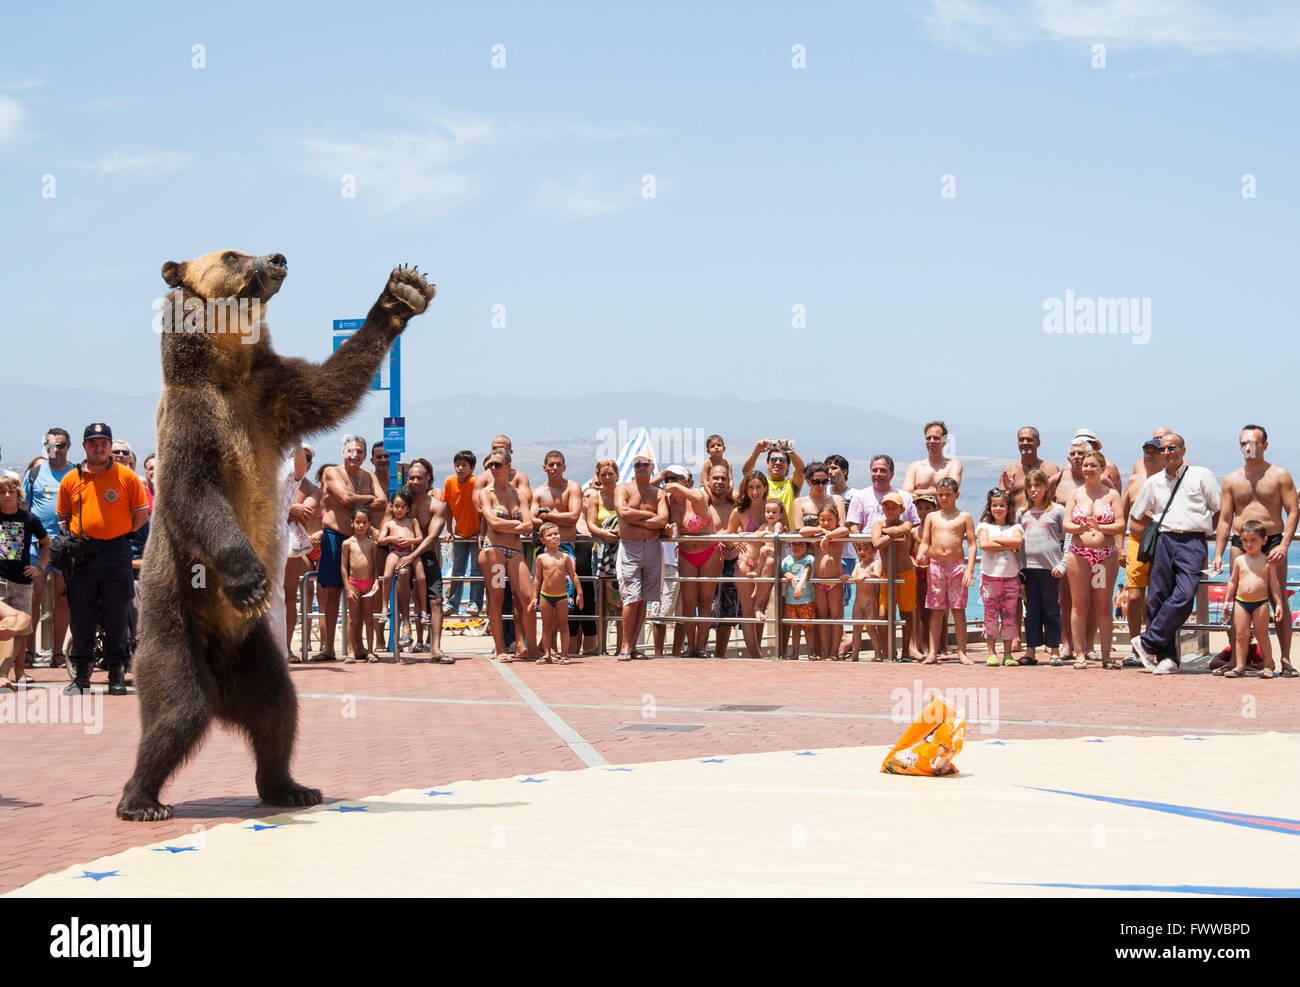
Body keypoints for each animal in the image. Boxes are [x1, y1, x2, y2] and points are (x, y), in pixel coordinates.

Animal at [115, 250, 435, 821]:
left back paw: (290, 785)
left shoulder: (272, 396)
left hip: (254, 650)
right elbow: (197, 494)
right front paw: (249, 580)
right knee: (177, 708)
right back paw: (141, 799)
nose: (278, 257)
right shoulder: (194, 422)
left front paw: (402, 293)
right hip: (173, 621)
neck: (226, 371)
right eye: (232, 254)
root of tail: (222, 679)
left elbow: (331, 385)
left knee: (276, 709)